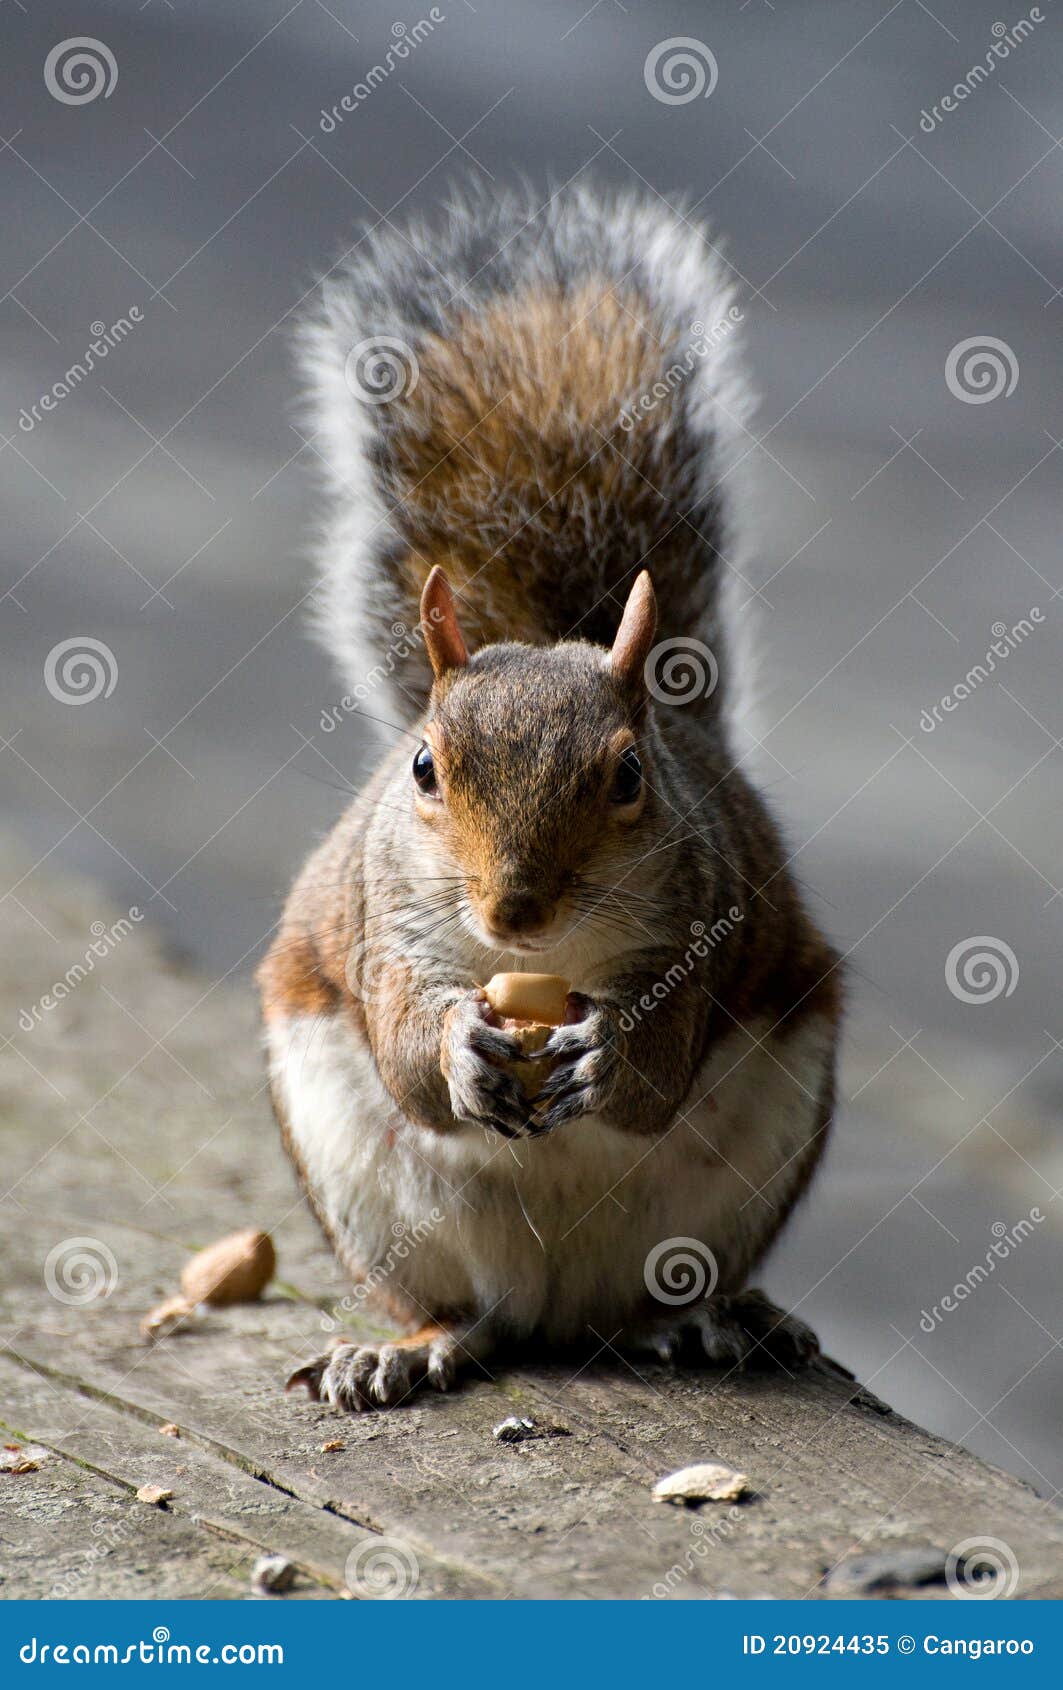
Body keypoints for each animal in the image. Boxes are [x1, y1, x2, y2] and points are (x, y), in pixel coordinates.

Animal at [259, 183, 842, 1412]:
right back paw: (405, 1346)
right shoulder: (380, 924)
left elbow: (659, 1068)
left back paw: (712, 1322)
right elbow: (404, 1045)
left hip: (748, 1165)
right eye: (423, 768)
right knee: (467, 1313)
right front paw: (456, 1049)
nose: (513, 911)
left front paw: (608, 1052)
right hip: (372, 1197)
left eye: (628, 776)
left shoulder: (706, 920)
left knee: (655, 1298)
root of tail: (561, 1309)